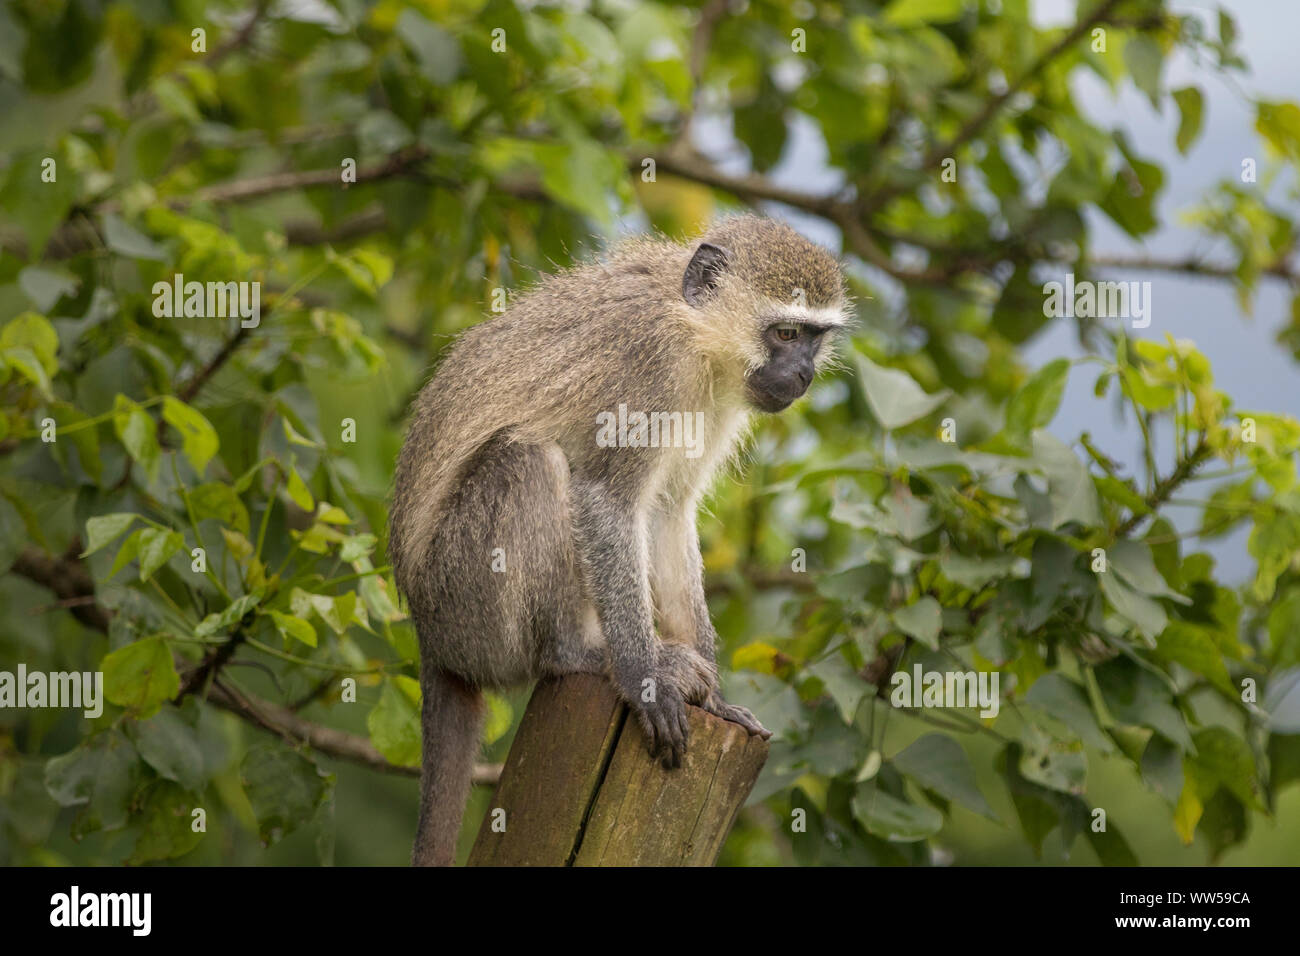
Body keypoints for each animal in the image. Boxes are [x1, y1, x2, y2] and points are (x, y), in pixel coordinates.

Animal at [388, 214, 851, 866]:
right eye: (785, 333)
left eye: (813, 338)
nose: (805, 374)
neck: (696, 335)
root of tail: (431, 640)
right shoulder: (648, 369)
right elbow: (608, 500)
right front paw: (644, 679)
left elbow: (667, 514)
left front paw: (715, 701)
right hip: (466, 610)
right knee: (525, 462)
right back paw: (575, 653)